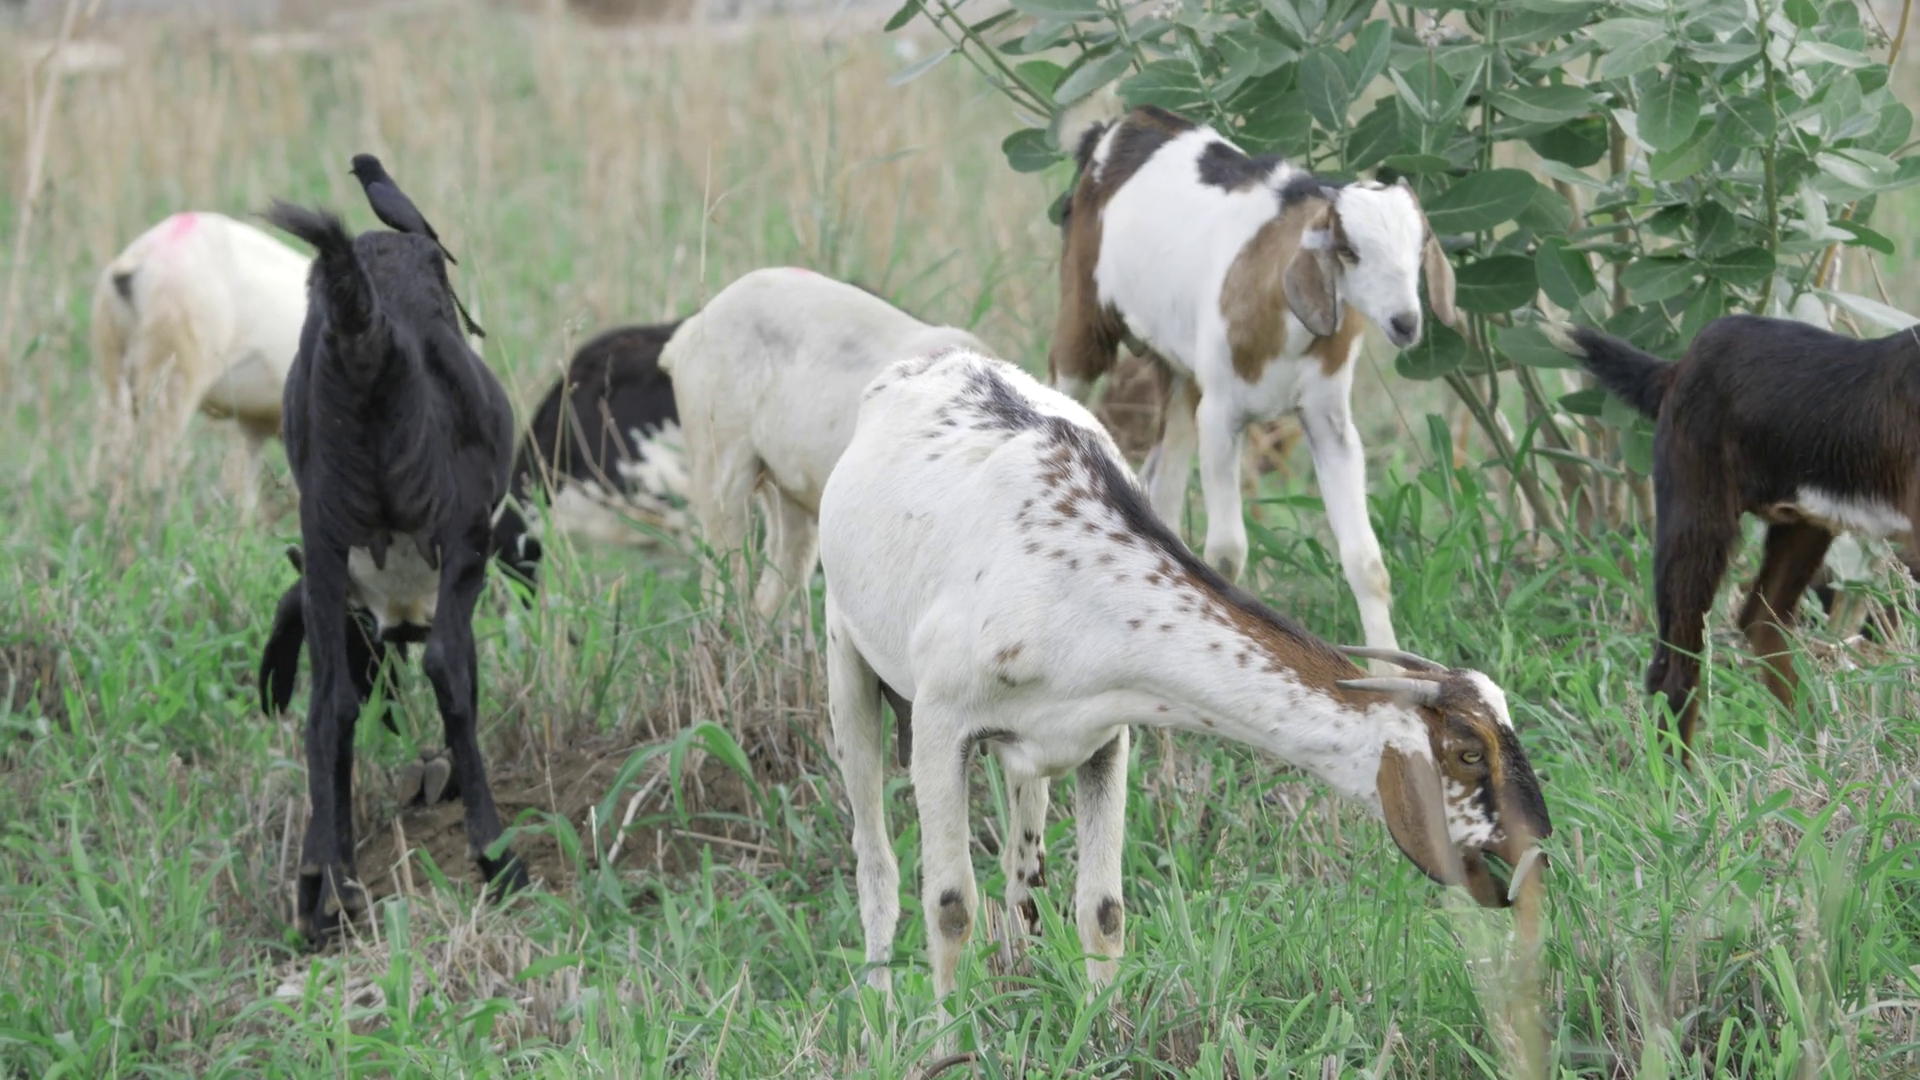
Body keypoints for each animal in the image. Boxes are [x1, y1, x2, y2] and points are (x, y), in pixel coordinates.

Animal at [90, 211, 309, 499]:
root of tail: (140, 259)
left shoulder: (256, 424)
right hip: (172, 376)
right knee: (151, 466)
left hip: (117, 369)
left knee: (117, 452)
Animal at [263, 196, 524, 942]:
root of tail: (364, 331)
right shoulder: (461, 562)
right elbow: (461, 675)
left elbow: (333, 711)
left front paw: (321, 876)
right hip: (460, 531)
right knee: (444, 669)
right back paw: (498, 858)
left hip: (324, 534)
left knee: (329, 708)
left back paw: (329, 893)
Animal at [817, 347, 1549, 1010]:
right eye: (1467, 750)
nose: (1533, 851)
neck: (1071, 577)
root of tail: (920, 364)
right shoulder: (943, 726)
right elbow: (950, 908)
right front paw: (948, 1041)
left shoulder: (1103, 737)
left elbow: (1103, 909)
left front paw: (1103, 1034)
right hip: (844, 655)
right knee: (875, 861)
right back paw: (883, 1019)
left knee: (1022, 867)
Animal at [1051, 105, 1457, 664]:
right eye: (1348, 250)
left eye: (1419, 248)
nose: (1405, 323)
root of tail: (1124, 123)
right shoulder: (1222, 417)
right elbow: (1226, 556)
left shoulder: (1328, 420)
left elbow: (1366, 561)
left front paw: (1393, 670)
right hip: (1082, 326)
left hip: (1179, 374)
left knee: (1161, 487)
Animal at [1546, 315, 1920, 756]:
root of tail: (1675, 369)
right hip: (1696, 516)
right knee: (1676, 666)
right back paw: (1682, 772)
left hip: (1801, 522)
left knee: (1761, 619)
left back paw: (1819, 747)